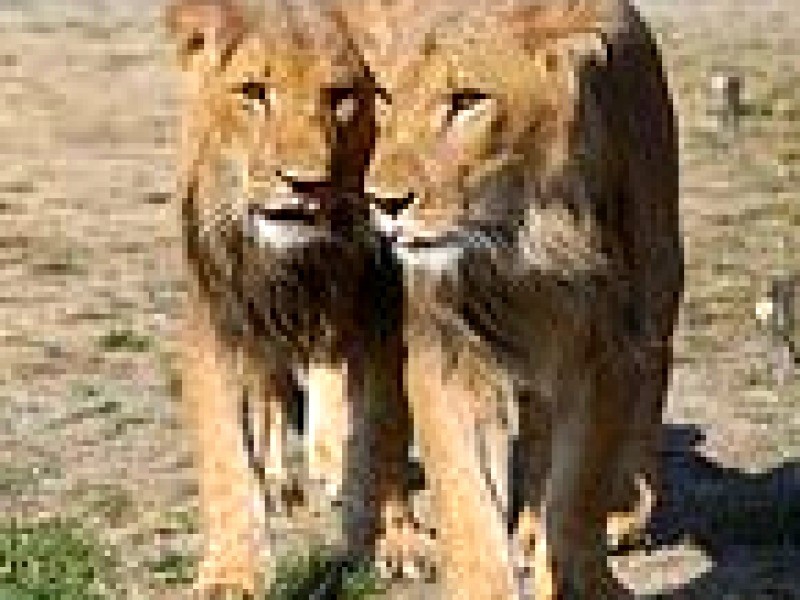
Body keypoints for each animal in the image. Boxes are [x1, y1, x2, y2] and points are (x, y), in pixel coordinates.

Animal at [163, 0, 415, 595]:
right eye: (253, 92)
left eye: (340, 96)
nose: (305, 184)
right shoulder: (216, 313)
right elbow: (226, 454)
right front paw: (232, 572)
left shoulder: (381, 303)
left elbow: (383, 425)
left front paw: (393, 540)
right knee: (272, 391)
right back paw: (281, 482)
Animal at [337, 0, 684, 597]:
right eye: (385, 96)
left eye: (467, 100)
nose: (383, 201)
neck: (522, 248)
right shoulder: (448, 351)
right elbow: (467, 505)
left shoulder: (611, 353)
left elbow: (577, 495)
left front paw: (577, 572)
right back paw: (402, 541)